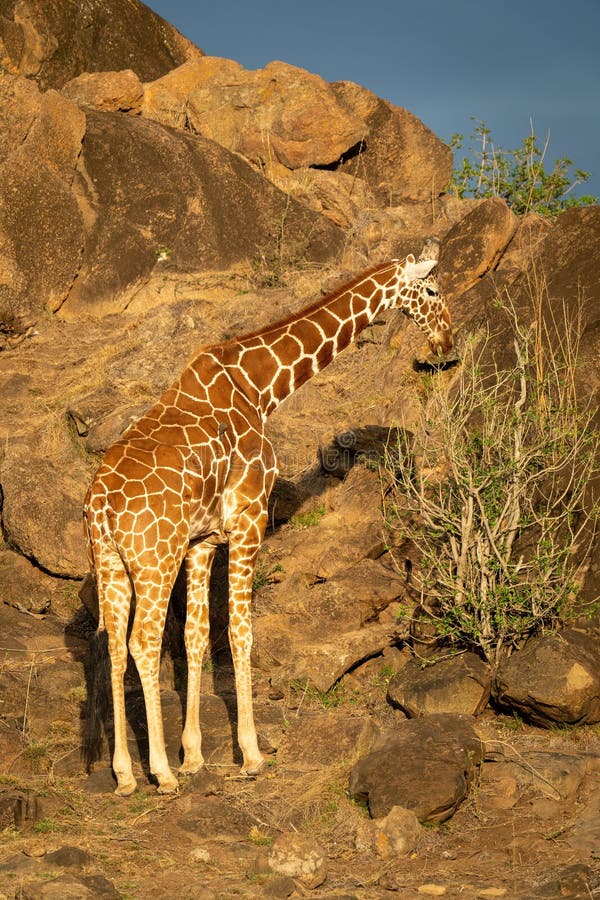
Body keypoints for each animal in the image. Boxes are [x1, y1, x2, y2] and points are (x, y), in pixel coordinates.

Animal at [83, 249, 453, 796]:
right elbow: (240, 633)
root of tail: (101, 503)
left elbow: (196, 636)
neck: (259, 386)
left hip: (110, 561)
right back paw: (160, 774)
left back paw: (126, 775)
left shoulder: (202, 541)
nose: (447, 343)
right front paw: (250, 756)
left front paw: (195, 755)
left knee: (113, 644)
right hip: (154, 561)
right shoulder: (248, 520)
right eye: (431, 291)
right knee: (142, 643)